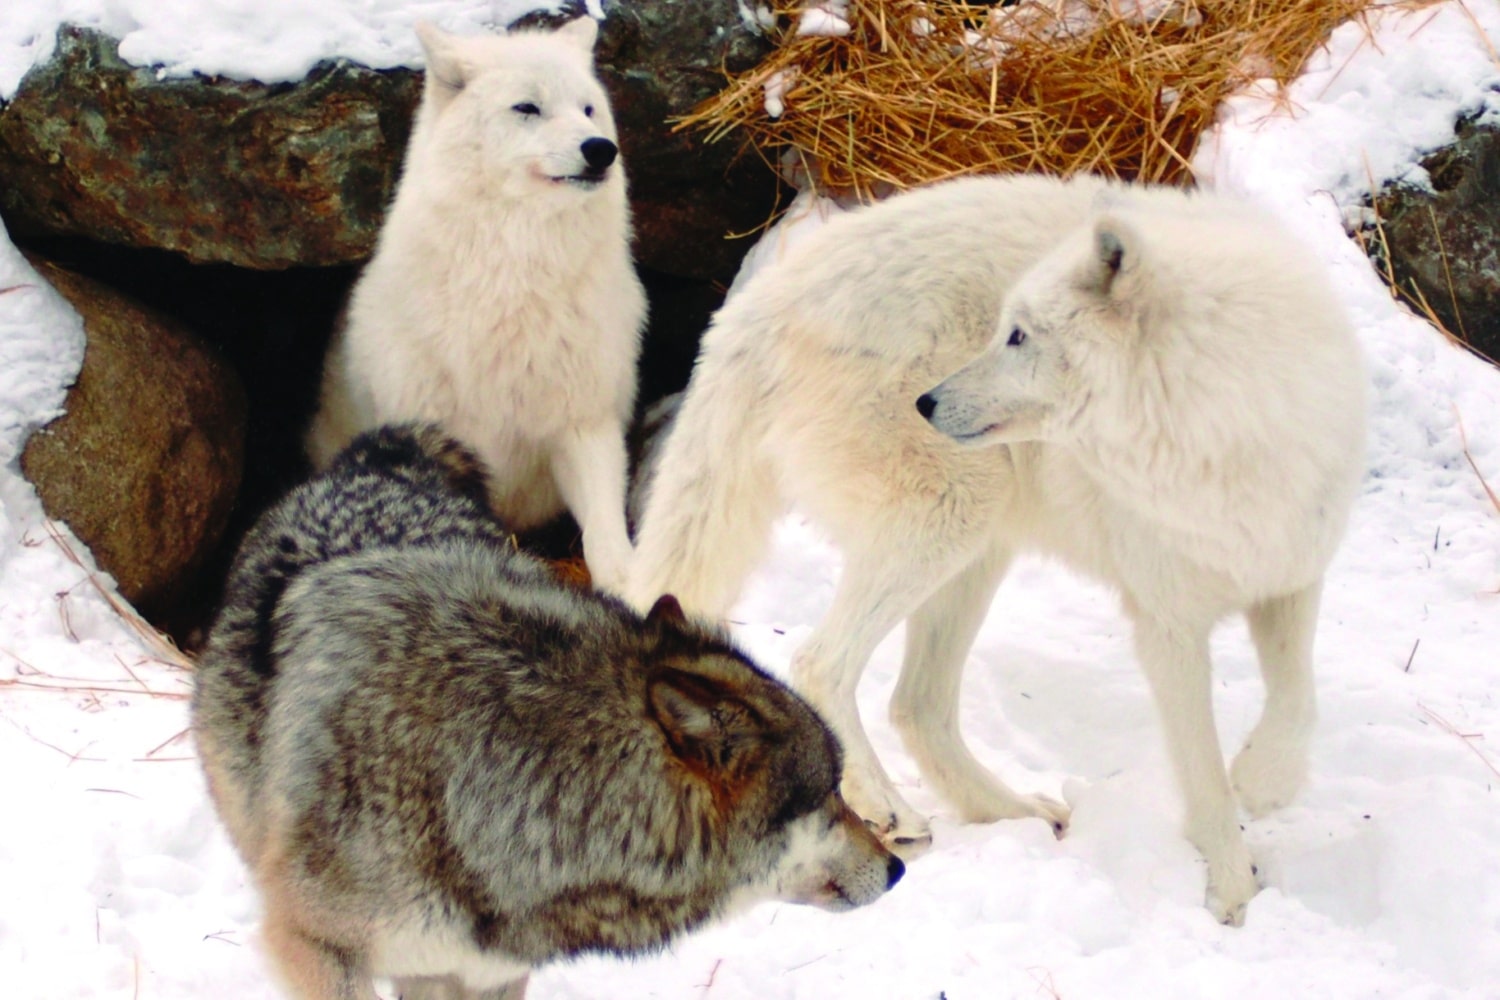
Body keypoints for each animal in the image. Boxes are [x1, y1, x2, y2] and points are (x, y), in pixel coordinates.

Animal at [306, 17, 645, 593]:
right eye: (528, 107)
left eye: (587, 109)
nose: (601, 149)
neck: (513, 278)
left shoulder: (585, 421)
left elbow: (604, 530)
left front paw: (629, 586)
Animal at [626, 174, 1366, 924]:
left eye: (1017, 336)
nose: (927, 403)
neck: (1219, 430)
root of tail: (753, 305)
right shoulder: (1167, 625)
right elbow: (1205, 778)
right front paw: (1236, 898)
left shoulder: (1291, 572)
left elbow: (1297, 700)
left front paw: (1266, 782)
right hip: (947, 522)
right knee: (821, 661)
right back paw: (891, 808)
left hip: (976, 554)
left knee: (916, 705)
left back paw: (1012, 811)